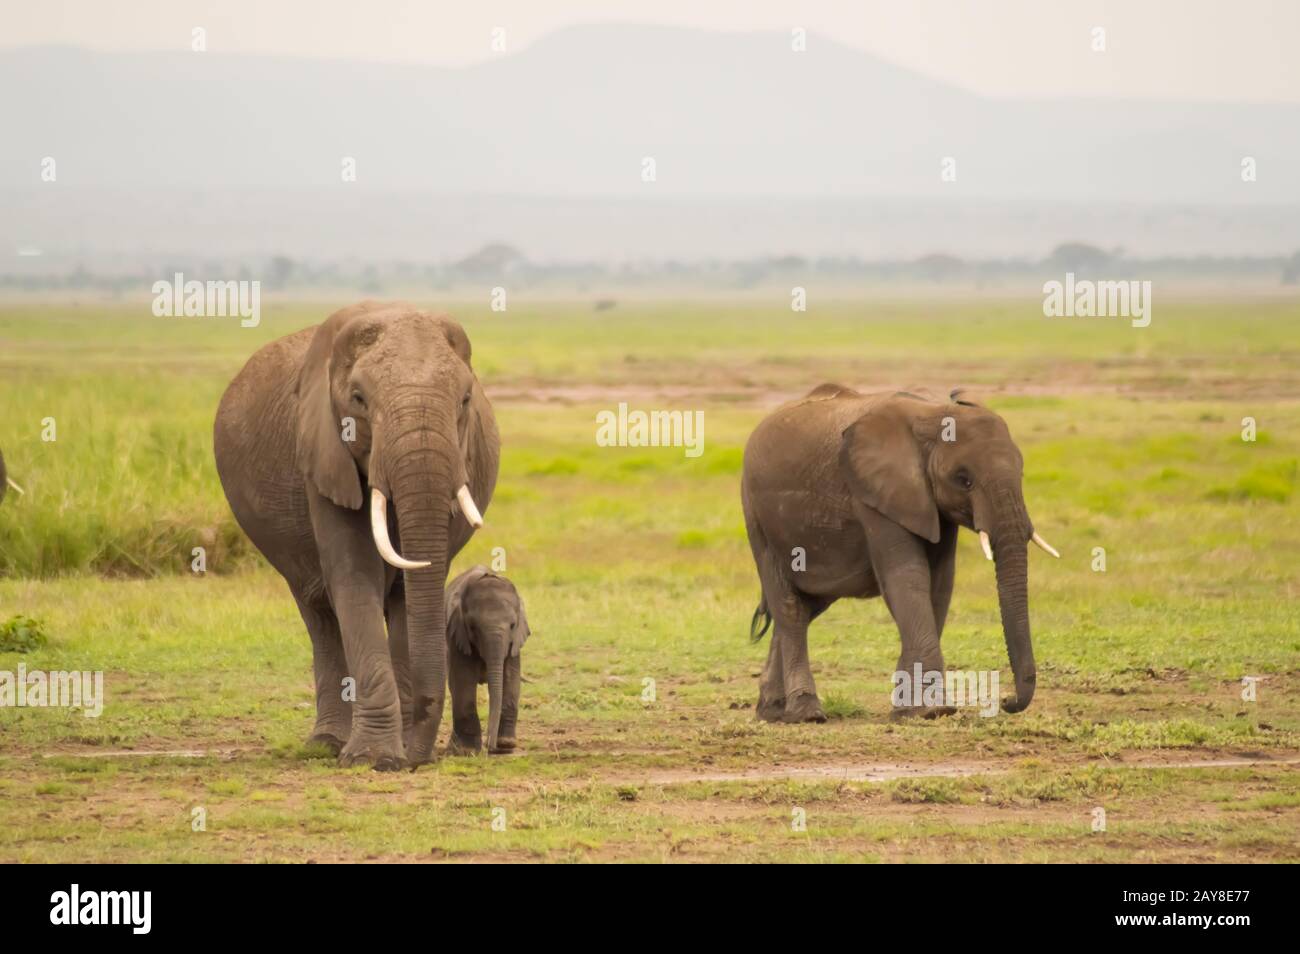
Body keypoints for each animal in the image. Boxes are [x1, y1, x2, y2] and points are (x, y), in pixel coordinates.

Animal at [214, 301, 499, 769]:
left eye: (465, 400)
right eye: (359, 400)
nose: (418, 758)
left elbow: (409, 590)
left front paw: (396, 753)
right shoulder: (322, 452)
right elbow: (353, 575)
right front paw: (374, 758)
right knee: (319, 614)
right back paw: (327, 744)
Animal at [444, 565, 531, 754]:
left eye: (513, 625)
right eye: (472, 627)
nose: (490, 747)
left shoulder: (514, 643)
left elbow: (511, 678)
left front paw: (506, 744)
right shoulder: (458, 637)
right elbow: (463, 680)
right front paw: (468, 751)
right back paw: (455, 748)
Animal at [740, 385, 1058, 722]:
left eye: (1021, 473)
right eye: (964, 479)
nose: (1007, 701)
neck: (931, 416)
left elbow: (940, 584)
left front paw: (908, 709)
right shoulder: (875, 493)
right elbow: (908, 578)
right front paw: (932, 710)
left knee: (806, 607)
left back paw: (773, 712)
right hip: (757, 517)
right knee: (789, 606)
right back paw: (807, 713)